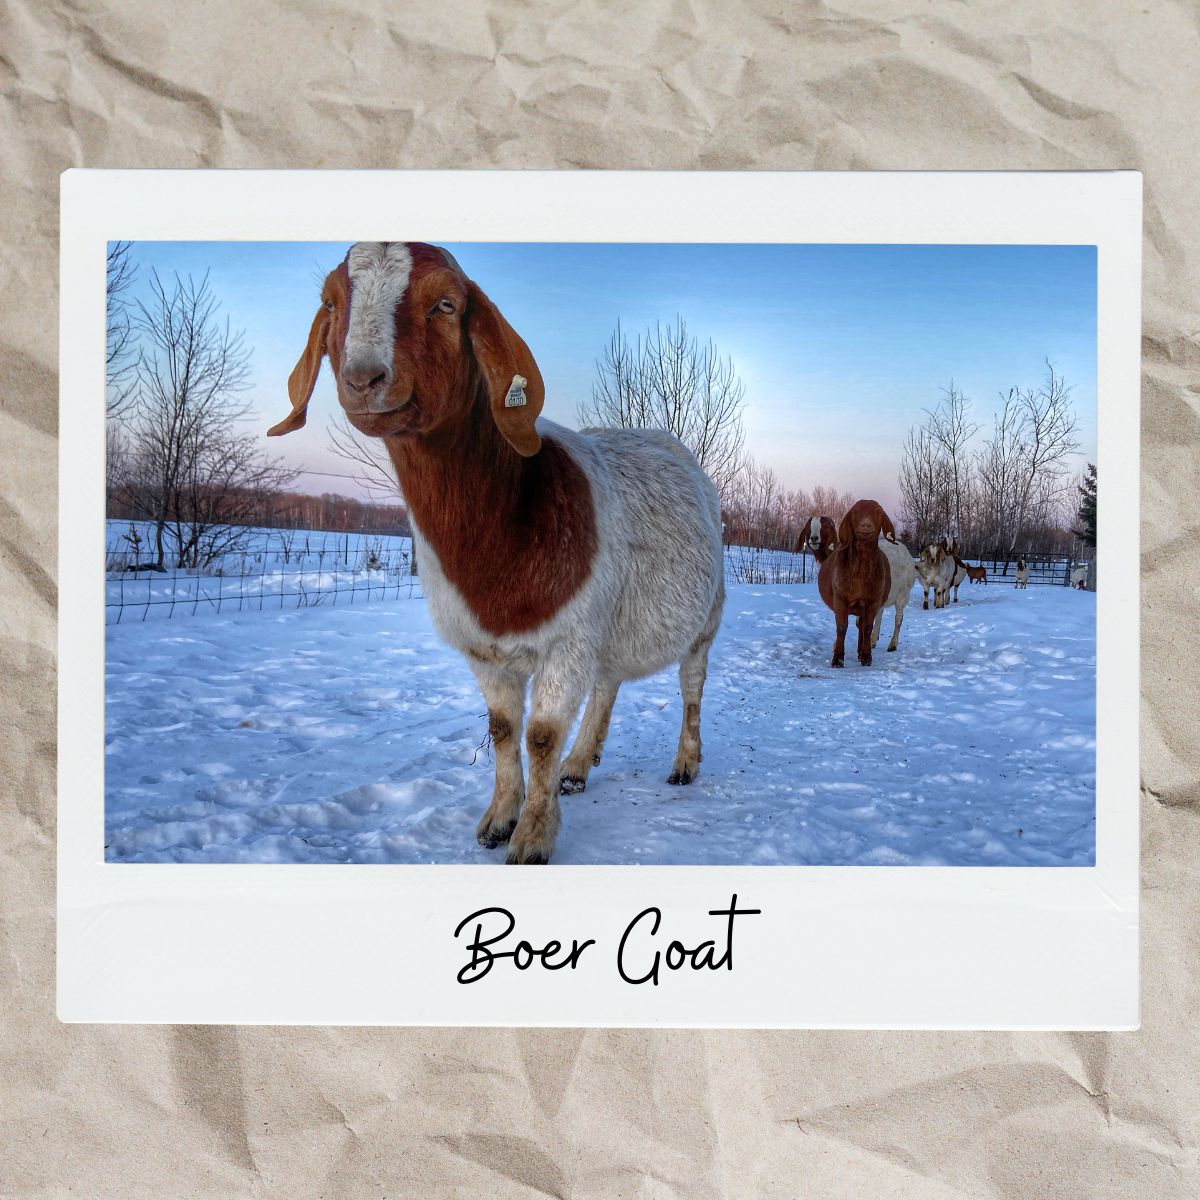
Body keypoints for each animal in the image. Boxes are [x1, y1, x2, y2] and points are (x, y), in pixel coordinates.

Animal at [269, 242, 725, 865]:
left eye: (445, 303)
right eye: (332, 302)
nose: (363, 379)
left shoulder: (567, 643)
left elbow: (540, 736)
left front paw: (532, 838)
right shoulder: (485, 651)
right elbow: (505, 730)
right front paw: (499, 819)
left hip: (706, 616)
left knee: (691, 687)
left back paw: (684, 763)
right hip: (611, 630)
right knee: (608, 684)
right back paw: (578, 768)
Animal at [814, 500, 892, 668]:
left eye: (878, 512)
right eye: (855, 512)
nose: (866, 525)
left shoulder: (873, 602)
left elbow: (868, 629)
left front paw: (867, 657)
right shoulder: (840, 600)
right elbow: (841, 627)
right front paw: (837, 659)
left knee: (862, 627)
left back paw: (861, 653)